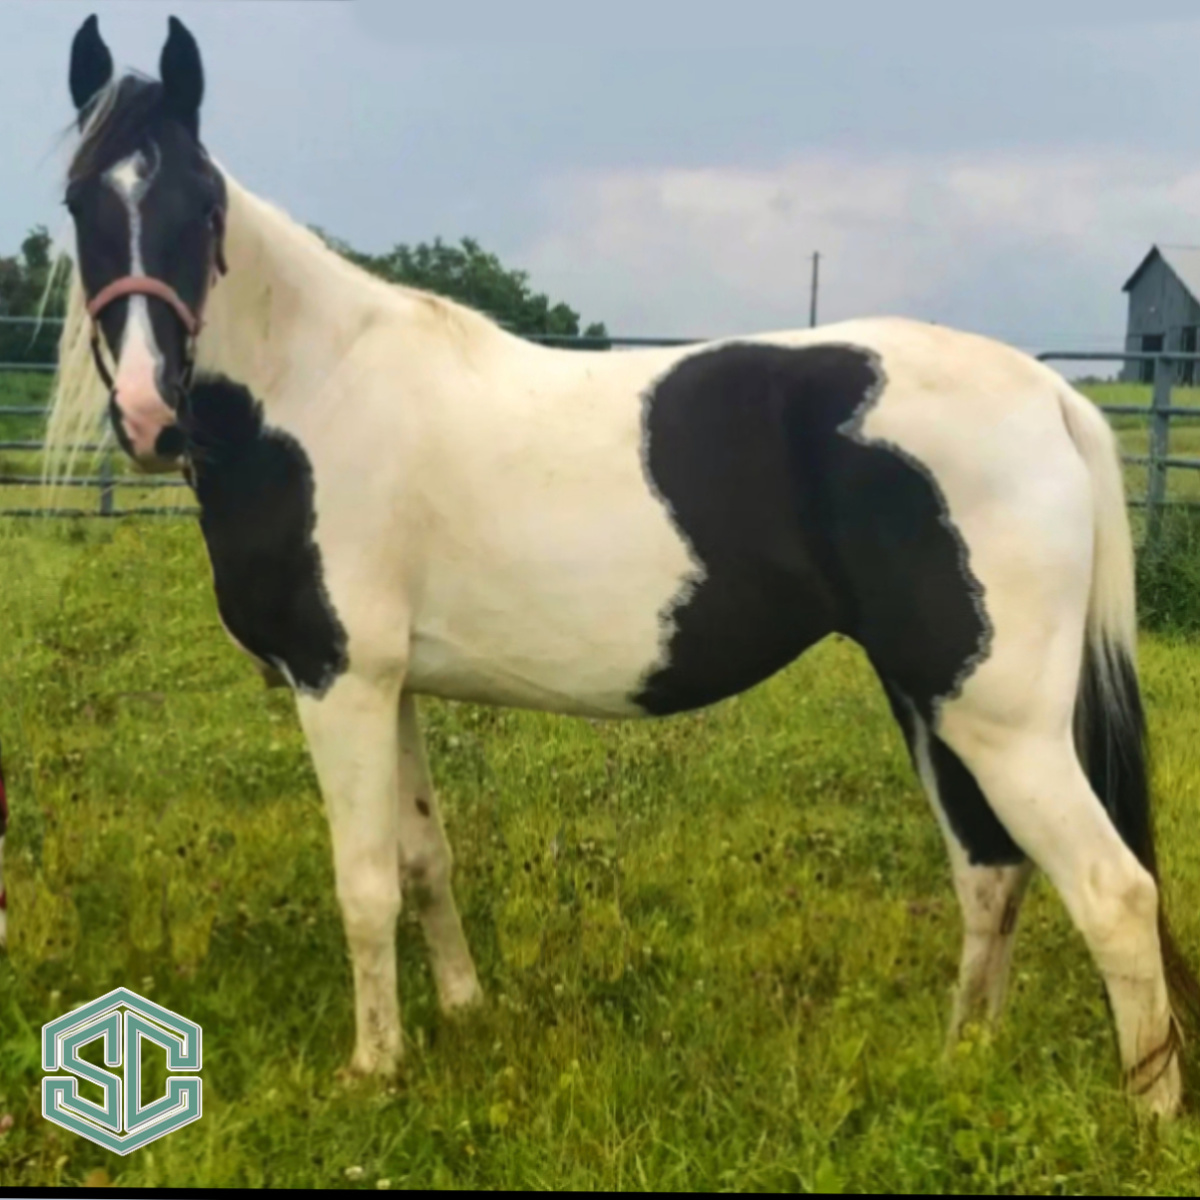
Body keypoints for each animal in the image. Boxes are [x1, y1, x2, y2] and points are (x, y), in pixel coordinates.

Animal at [41, 13, 1199, 1117]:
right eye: (78, 203)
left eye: (202, 205)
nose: (146, 414)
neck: (313, 393)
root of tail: (1052, 397)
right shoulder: (391, 684)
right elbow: (423, 858)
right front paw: (463, 1012)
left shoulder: (340, 682)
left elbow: (365, 883)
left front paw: (374, 1069)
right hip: (932, 696)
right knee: (991, 872)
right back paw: (966, 1064)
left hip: (999, 717)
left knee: (1111, 890)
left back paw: (1147, 1115)